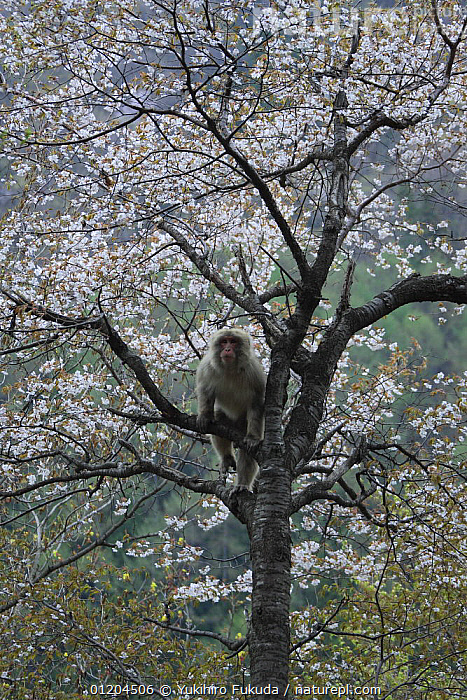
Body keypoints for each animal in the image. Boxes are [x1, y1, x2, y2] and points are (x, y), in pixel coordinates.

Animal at [196, 327, 266, 492]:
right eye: (224, 342)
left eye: (233, 342)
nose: (227, 349)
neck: (230, 369)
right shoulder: (207, 367)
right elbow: (205, 390)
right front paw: (204, 416)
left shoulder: (254, 373)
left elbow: (256, 403)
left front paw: (253, 438)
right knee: (218, 423)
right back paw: (227, 457)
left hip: (243, 425)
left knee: (248, 451)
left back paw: (243, 484)